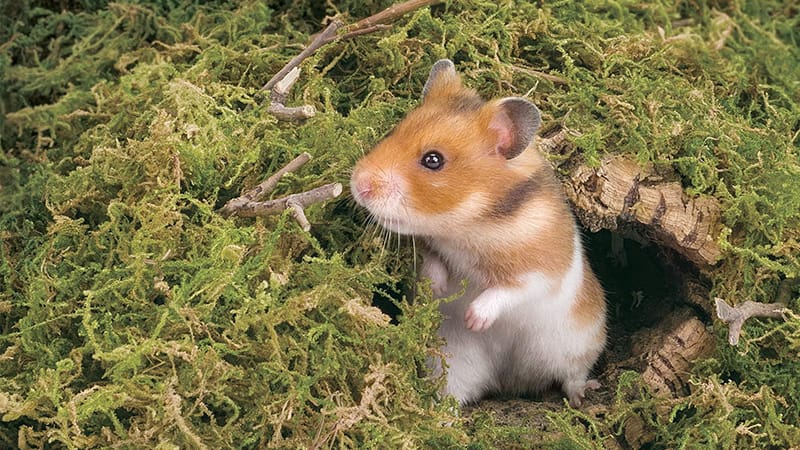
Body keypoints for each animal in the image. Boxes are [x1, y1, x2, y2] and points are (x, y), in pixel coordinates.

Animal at [350, 59, 607, 407]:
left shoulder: (543, 271)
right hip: (454, 363)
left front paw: (475, 319)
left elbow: (509, 290)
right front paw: (437, 288)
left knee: (571, 376)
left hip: (576, 344)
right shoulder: (434, 246)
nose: (357, 184)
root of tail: (510, 382)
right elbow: (431, 261)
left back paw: (583, 395)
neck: (470, 226)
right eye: (394, 132)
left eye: (433, 160)